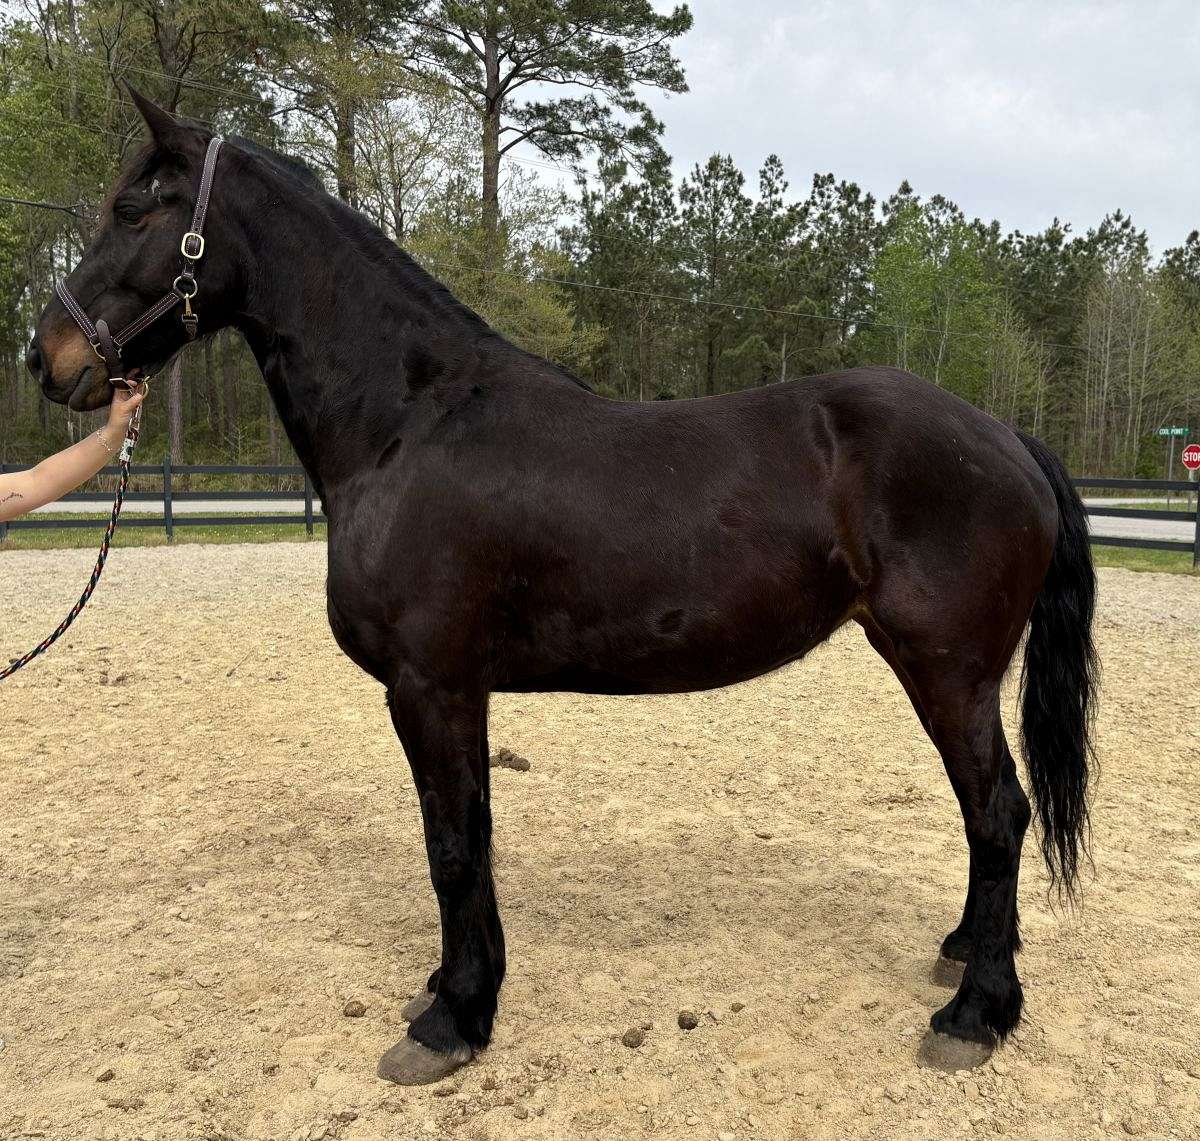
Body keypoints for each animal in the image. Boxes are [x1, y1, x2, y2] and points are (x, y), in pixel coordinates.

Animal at [26, 91, 1097, 1085]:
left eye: (132, 208)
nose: (47, 357)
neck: (408, 423)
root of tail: (1007, 437)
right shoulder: (452, 690)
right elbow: (467, 834)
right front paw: (457, 987)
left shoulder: (431, 684)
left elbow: (454, 843)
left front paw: (452, 1020)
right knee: (986, 814)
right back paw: (963, 955)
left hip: (948, 669)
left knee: (999, 811)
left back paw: (977, 1011)